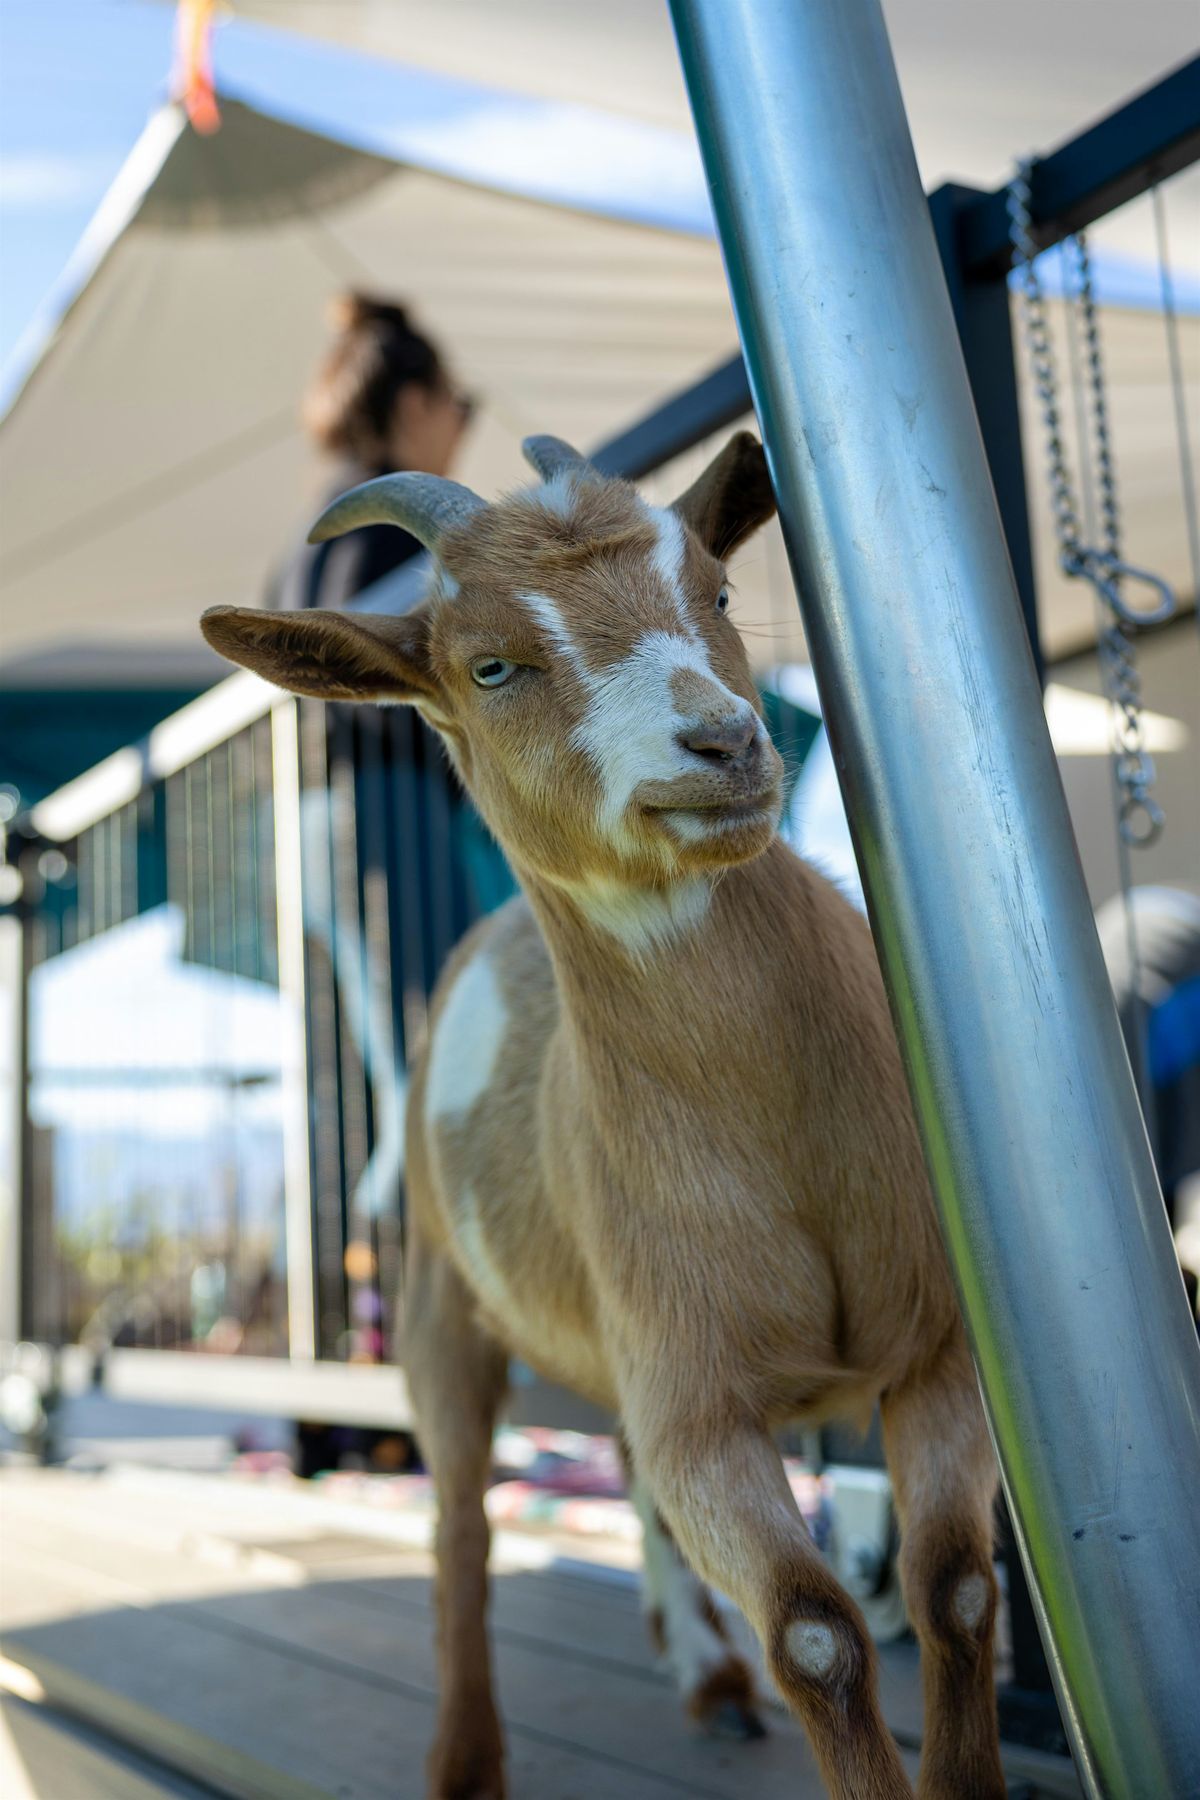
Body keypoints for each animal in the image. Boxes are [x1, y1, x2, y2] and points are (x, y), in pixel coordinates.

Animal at [202, 433, 1006, 1800]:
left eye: (719, 593)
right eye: (491, 665)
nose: (723, 744)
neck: (783, 1140)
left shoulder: (937, 1349)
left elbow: (951, 1593)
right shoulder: (698, 1401)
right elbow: (817, 1634)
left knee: (613, 1470)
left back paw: (705, 1675)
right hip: (439, 1299)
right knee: (462, 1524)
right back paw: (466, 1758)